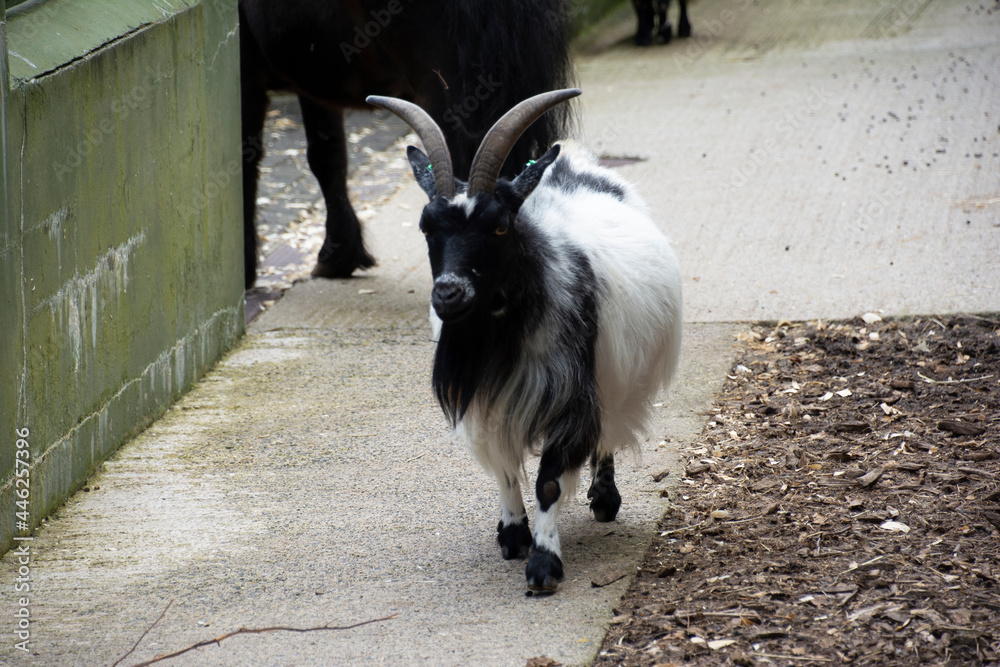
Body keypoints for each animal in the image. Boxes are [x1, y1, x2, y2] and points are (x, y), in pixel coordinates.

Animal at [368, 90, 683, 593]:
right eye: (426, 227)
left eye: (499, 226)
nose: (448, 293)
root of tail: (571, 163)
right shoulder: (487, 403)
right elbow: (503, 469)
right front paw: (513, 534)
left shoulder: (570, 395)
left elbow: (549, 482)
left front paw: (543, 564)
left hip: (615, 374)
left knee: (609, 428)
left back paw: (604, 497)